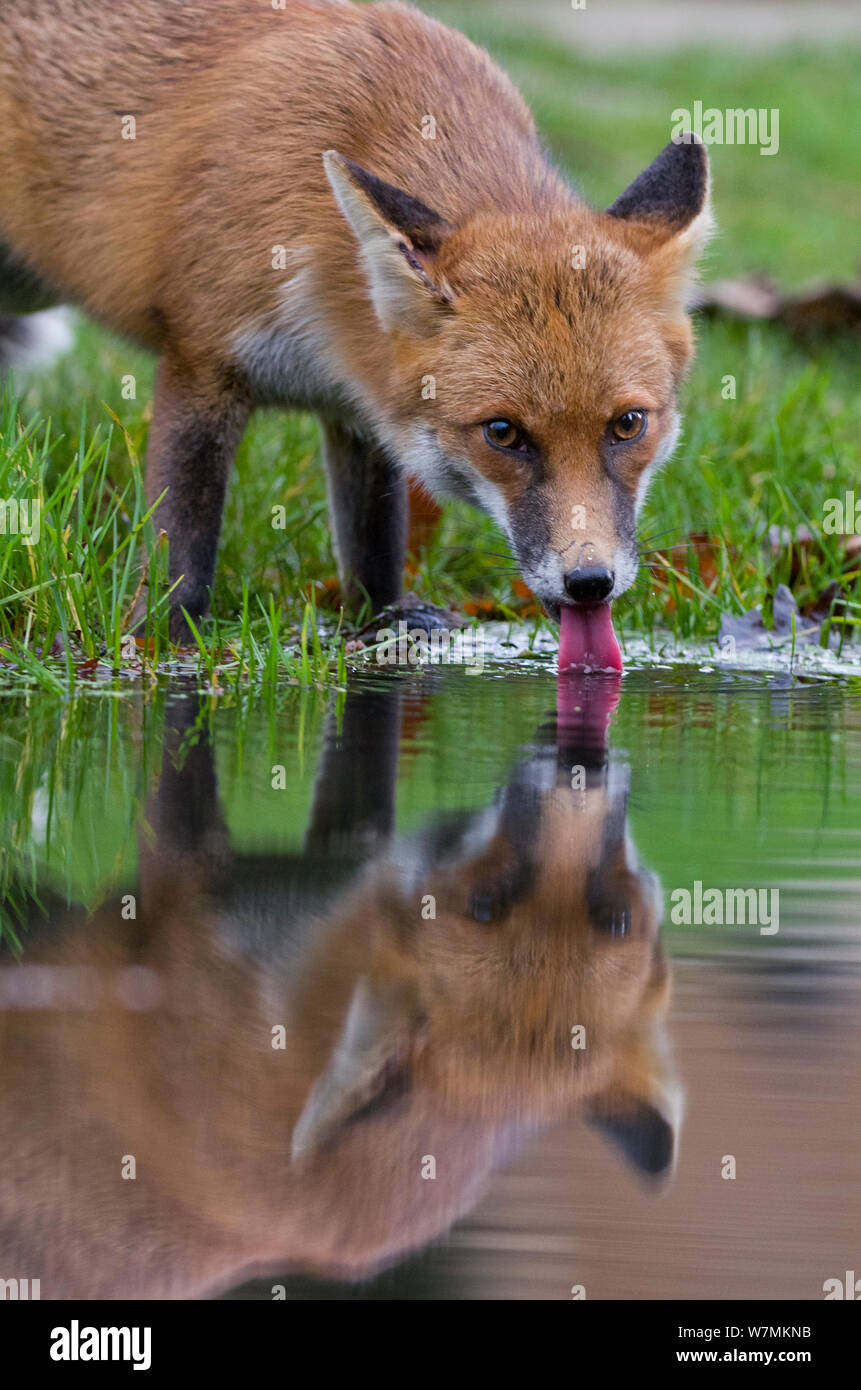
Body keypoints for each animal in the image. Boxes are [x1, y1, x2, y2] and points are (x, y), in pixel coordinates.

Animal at [0, 0, 712, 667]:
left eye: (628, 425)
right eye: (503, 434)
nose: (589, 581)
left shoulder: (365, 411)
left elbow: (374, 553)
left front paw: (385, 626)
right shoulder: (199, 363)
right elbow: (182, 554)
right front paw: (166, 646)